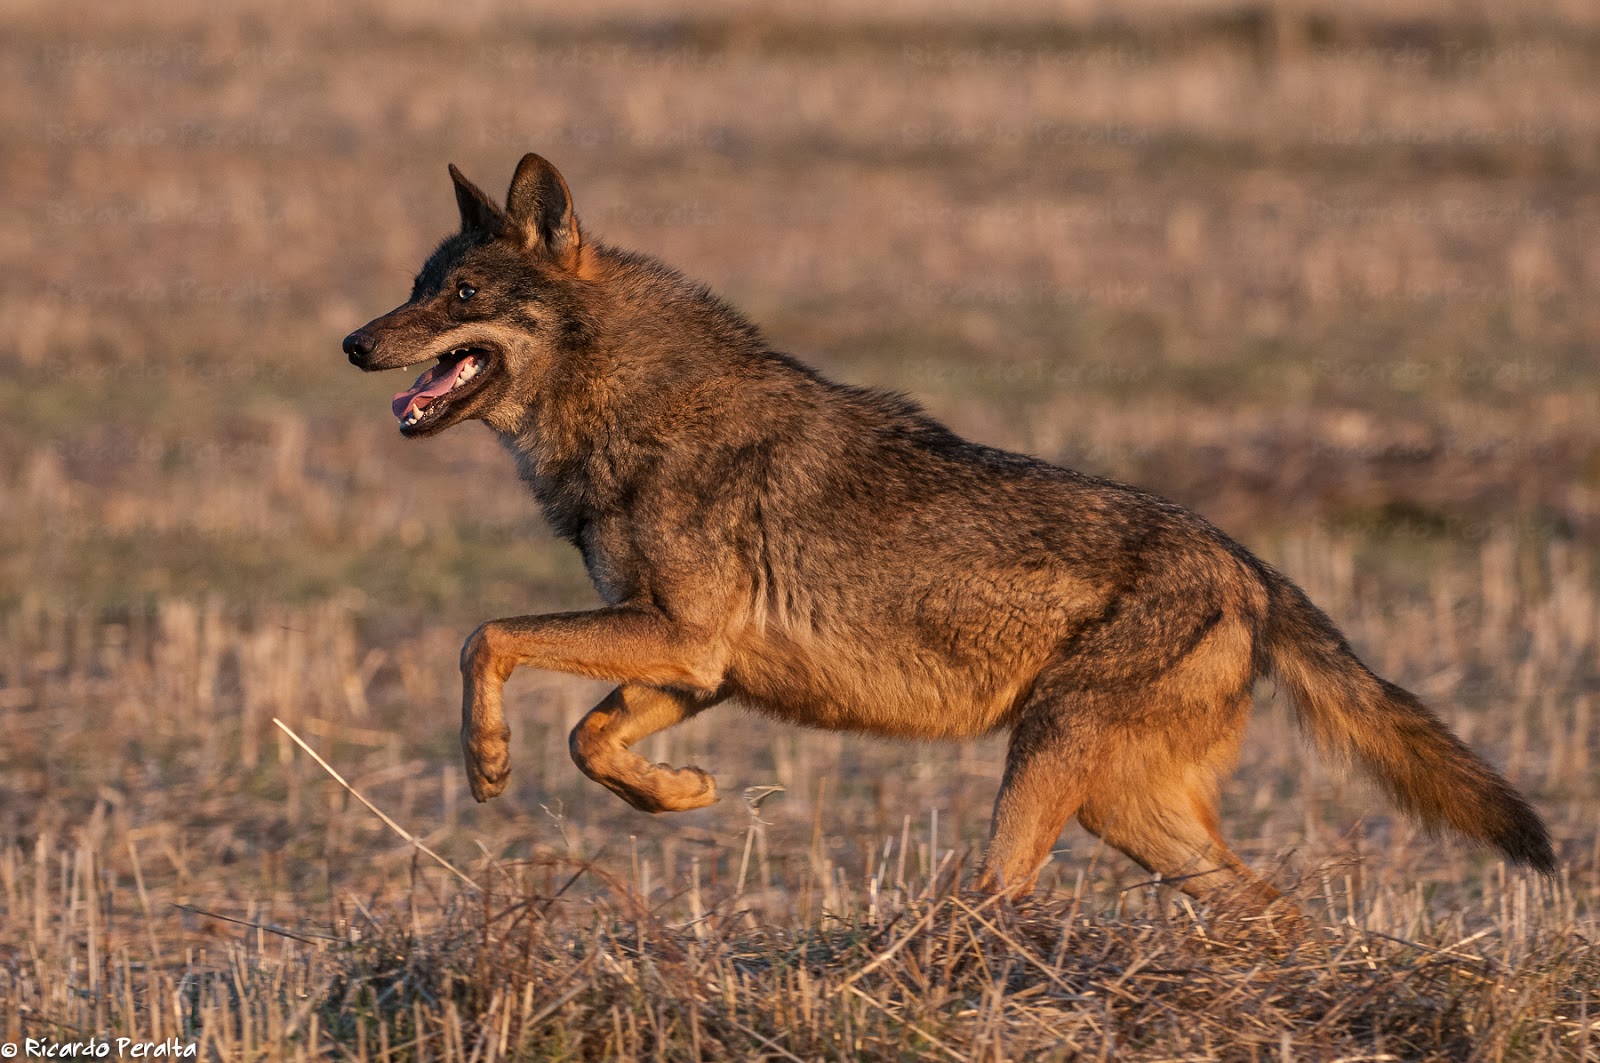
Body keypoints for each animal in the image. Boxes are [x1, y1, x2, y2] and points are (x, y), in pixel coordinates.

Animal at [344, 153, 1554, 904]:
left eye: (460, 296)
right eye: (415, 287)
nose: (353, 344)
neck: (627, 406)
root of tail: (1250, 568)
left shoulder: (680, 641)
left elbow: (486, 636)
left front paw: (486, 763)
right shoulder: (697, 665)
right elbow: (590, 738)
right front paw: (678, 794)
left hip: (1047, 769)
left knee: (1003, 895)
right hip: (1126, 813)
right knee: (1270, 912)